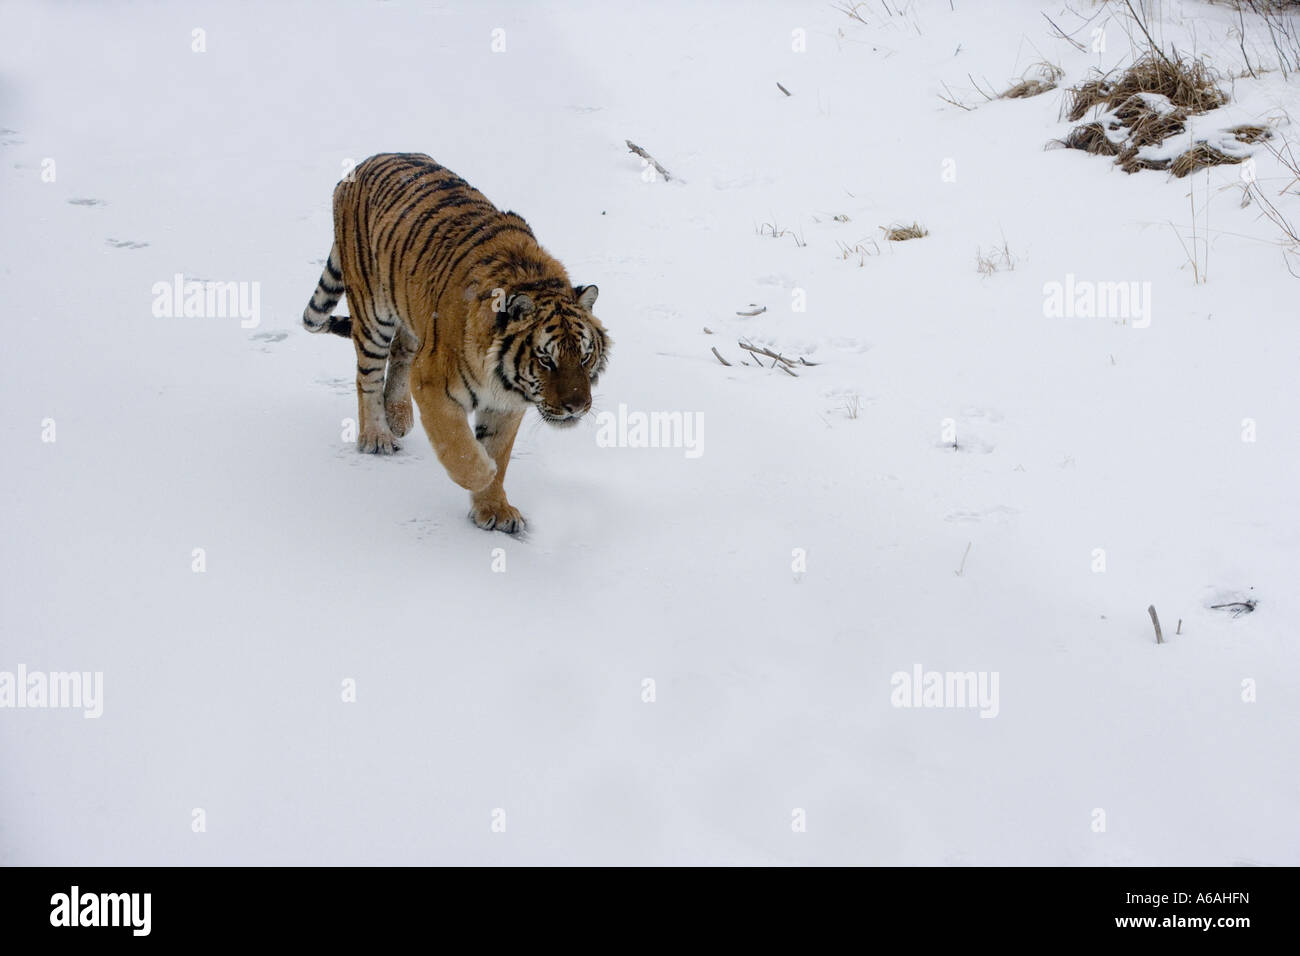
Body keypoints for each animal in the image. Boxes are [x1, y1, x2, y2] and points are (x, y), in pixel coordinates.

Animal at [302, 152, 610, 534]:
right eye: (546, 360)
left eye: (584, 358)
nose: (577, 407)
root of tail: (363, 164)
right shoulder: (433, 384)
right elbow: (460, 448)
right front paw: (483, 474)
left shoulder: (506, 403)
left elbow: (498, 450)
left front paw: (494, 509)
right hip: (372, 311)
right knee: (367, 377)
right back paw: (377, 436)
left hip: (410, 314)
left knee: (400, 353)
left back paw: (398, 416)